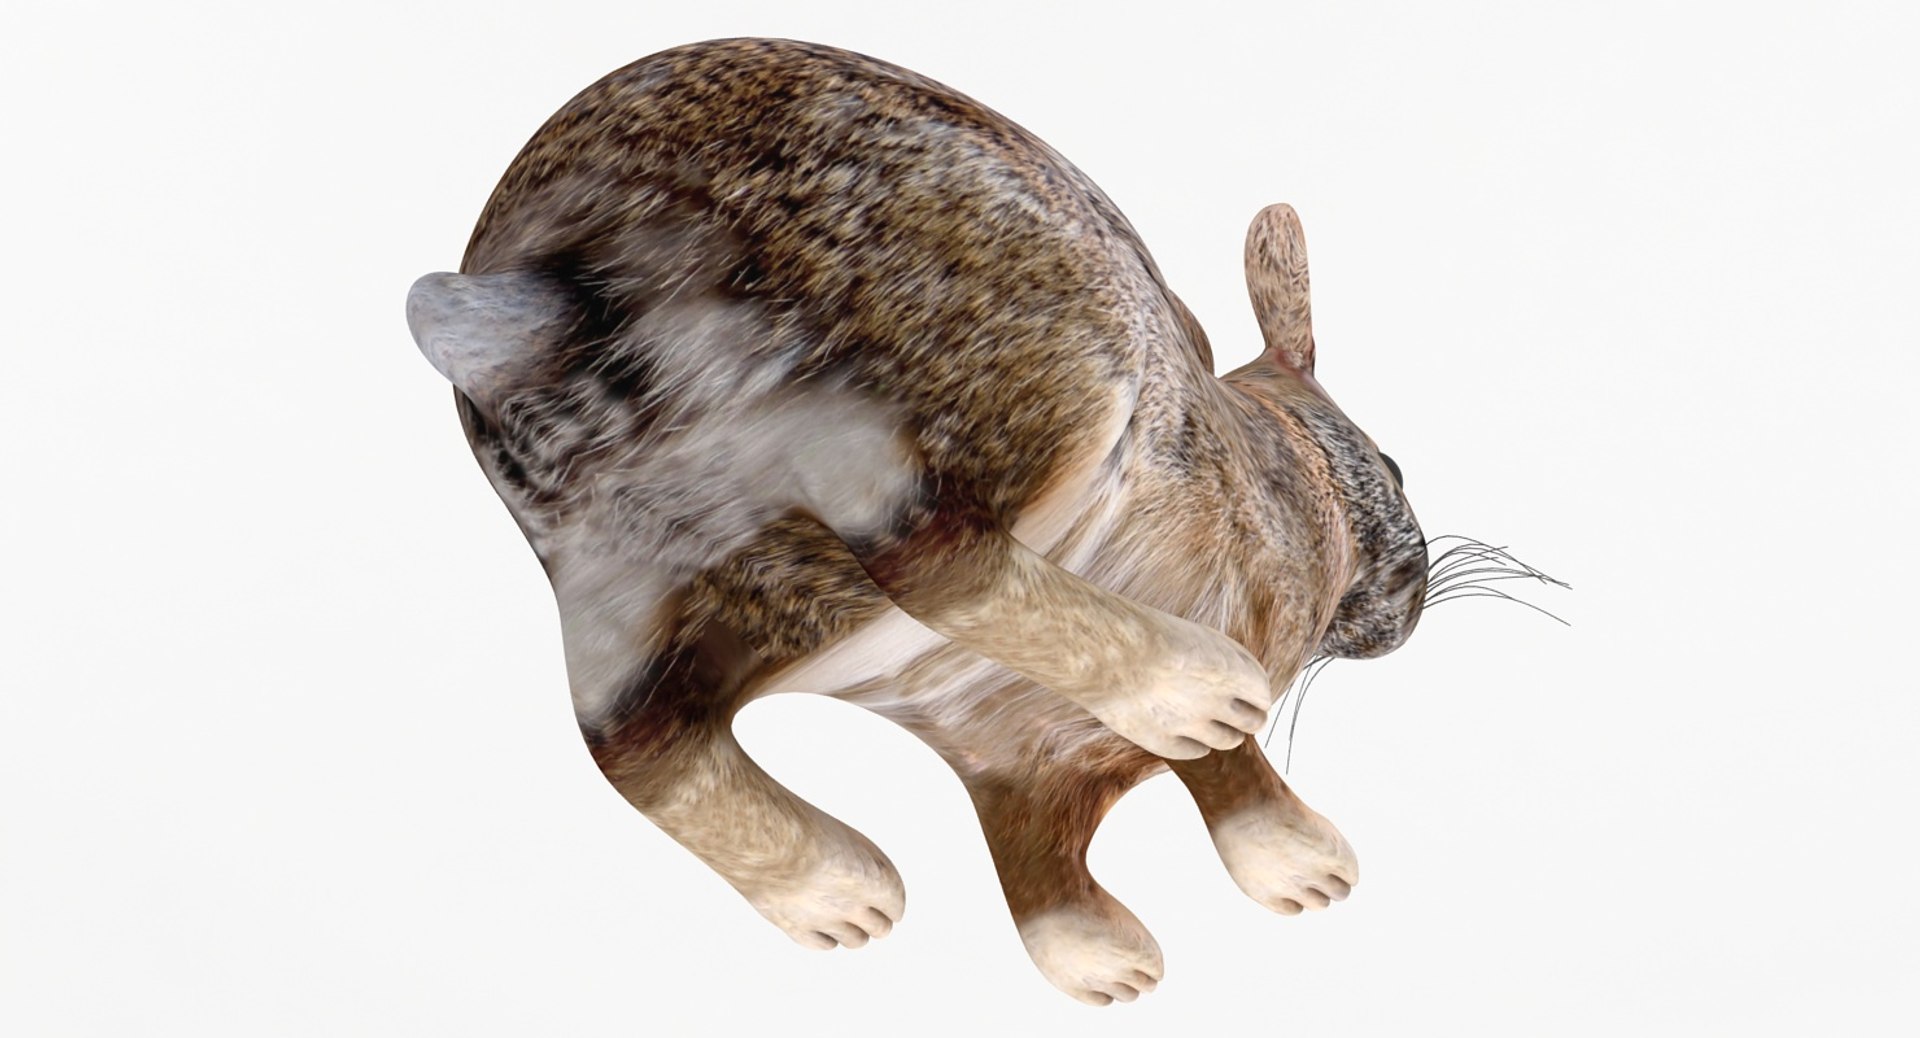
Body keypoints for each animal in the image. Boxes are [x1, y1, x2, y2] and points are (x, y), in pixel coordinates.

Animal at [406, 37, 1428, 1005]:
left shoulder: (1009, 768)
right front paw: (1297, 867)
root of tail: (553, 290)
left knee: (625, 735)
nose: (1411, 595)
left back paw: (840, 903)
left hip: (641, 579)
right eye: (1393, 467)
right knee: (914, 536)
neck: (1278, 459)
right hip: (1012, 363)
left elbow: (1068, 855)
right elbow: (1230, 760)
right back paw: (1188, 686)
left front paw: (1104, 963)